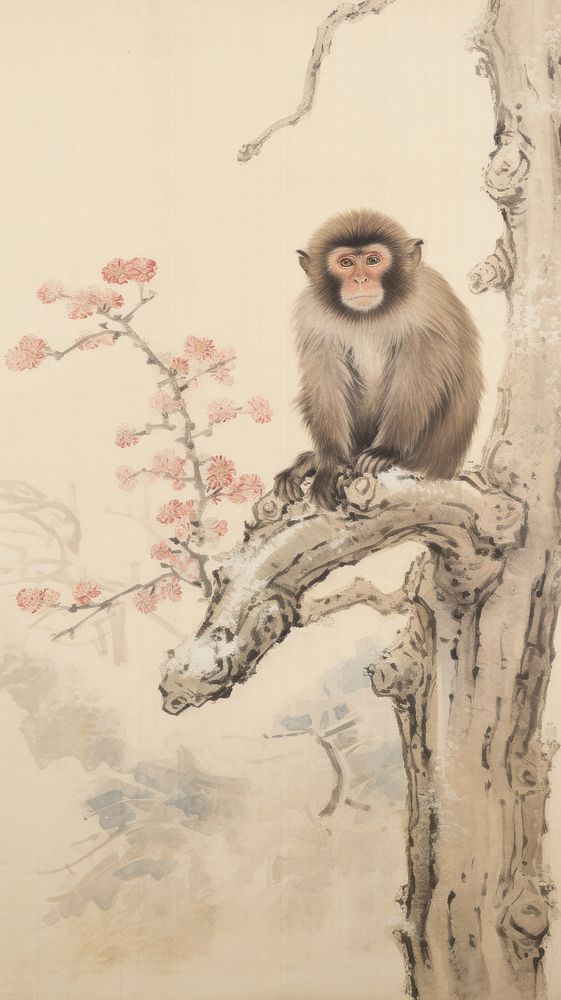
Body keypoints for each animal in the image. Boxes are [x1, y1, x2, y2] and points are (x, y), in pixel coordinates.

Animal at [274, 209, 483, 511]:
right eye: (346, 263)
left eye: (373, 260)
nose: (360, 279)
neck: (369, 316)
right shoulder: (312, 314)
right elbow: (325, 382)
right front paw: (329, 463)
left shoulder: (428, 304)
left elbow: (418, 378)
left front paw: (386, 450)